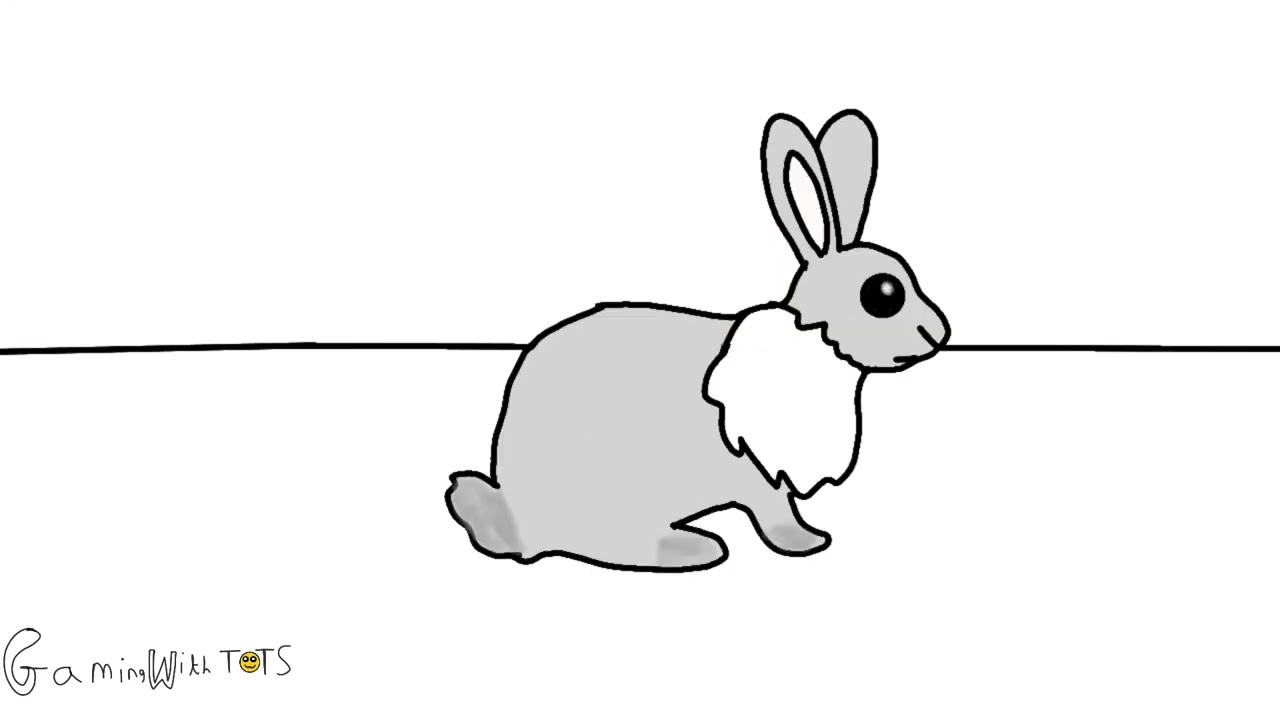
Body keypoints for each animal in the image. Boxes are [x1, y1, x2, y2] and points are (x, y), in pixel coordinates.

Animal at [445, 109, 950, 572]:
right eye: (882, 295)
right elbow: (775, 513)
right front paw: (806, 542)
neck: (811, 341)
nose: (939, 333)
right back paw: (692, 547)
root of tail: (518, 524)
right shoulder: (759, 472)